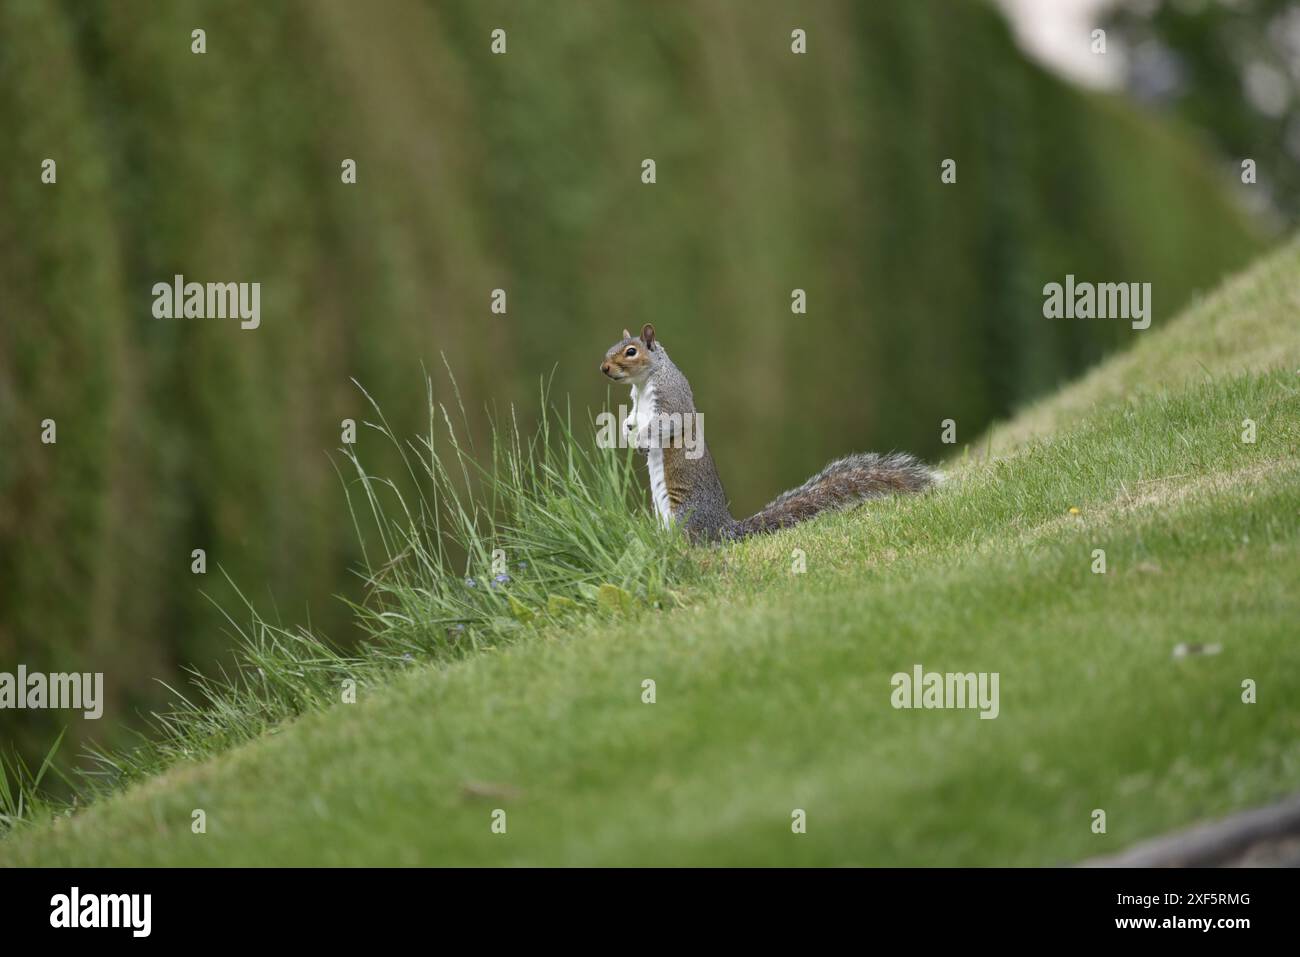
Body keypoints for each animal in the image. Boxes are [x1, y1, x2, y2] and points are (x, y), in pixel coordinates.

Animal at [600, 323, 940, 543]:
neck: (643, 383)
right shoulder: (636, 407)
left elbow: (667, 424)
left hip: (684, 512)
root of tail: (722, 529)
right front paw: (628, 434)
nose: (603, 368)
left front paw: (642, 440)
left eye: (630, 351)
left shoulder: (672, 400)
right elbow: (631, 419)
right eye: (611, 349)